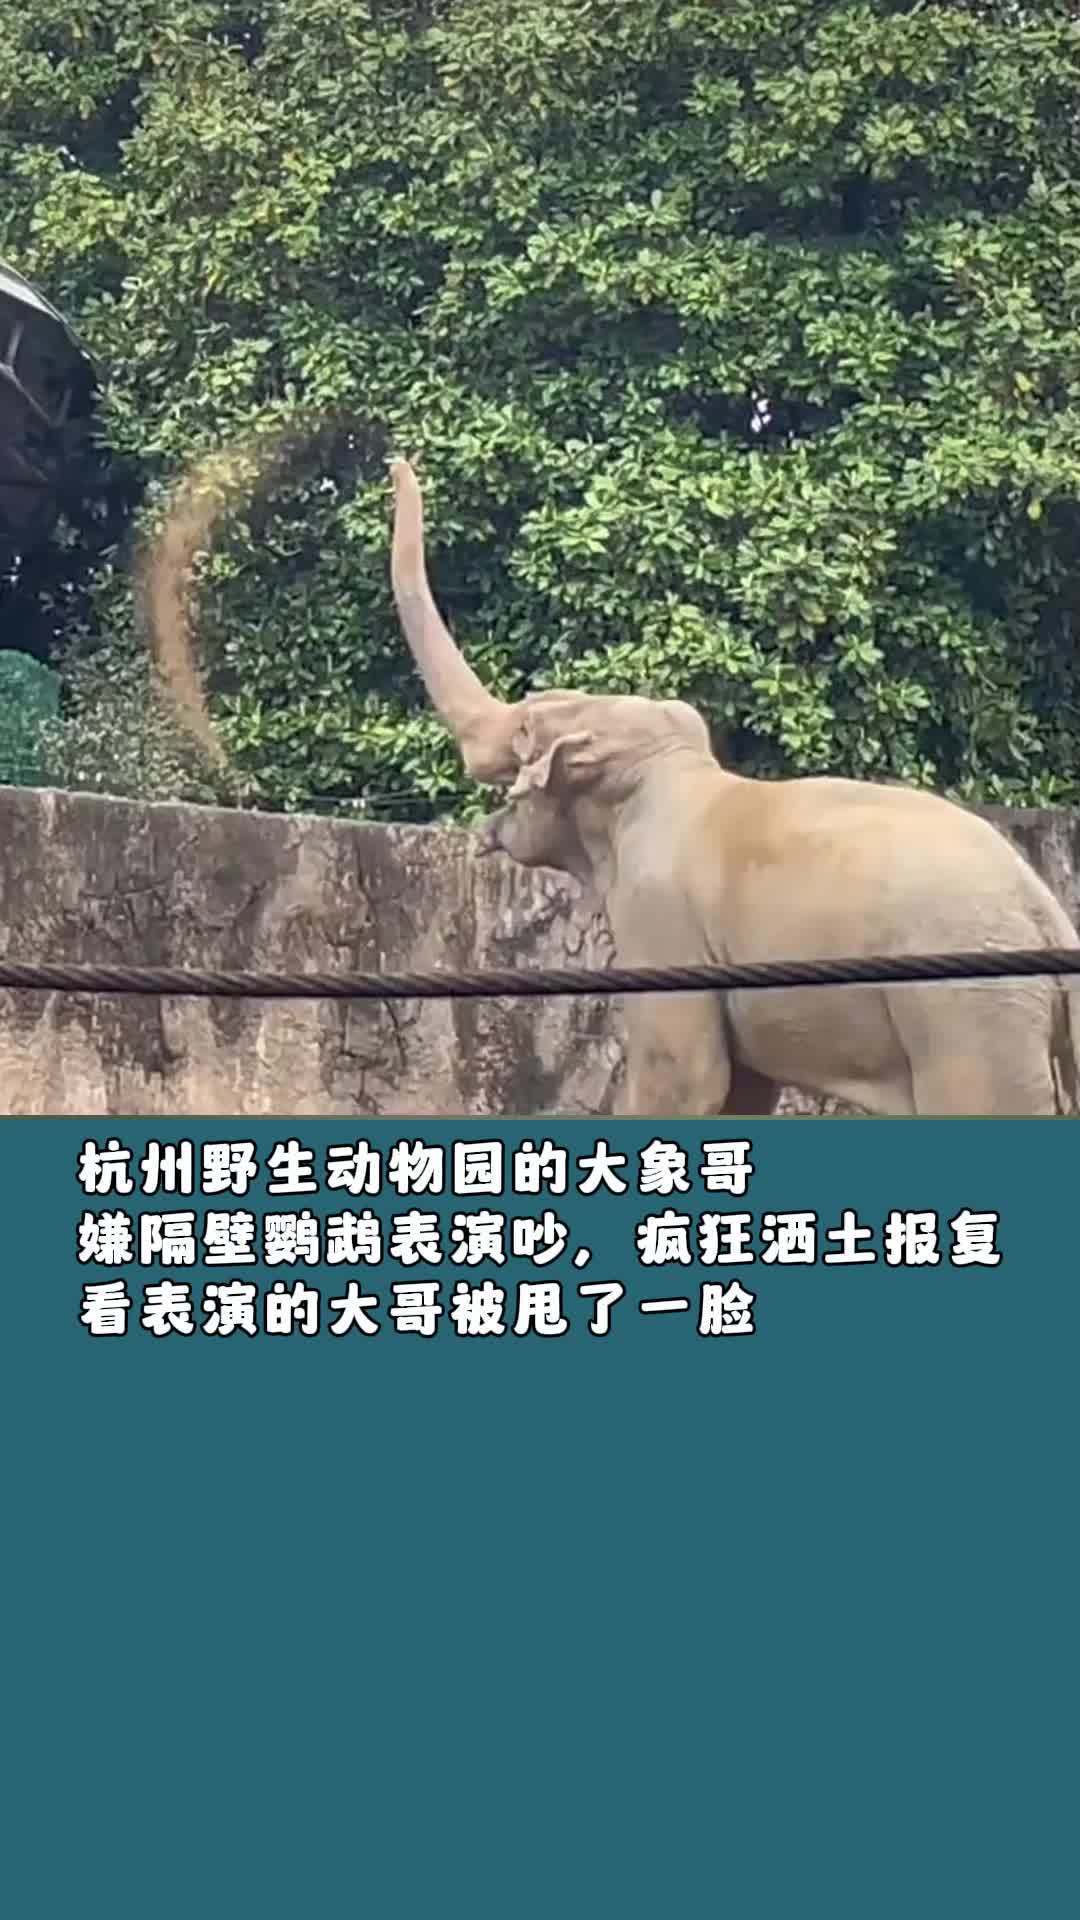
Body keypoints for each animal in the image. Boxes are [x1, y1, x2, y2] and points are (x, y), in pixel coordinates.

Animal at [388, 458, 1080, 1117]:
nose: (398, 457)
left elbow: (687, 1074)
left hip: (966, 1010)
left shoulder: (659, 913)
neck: (667, 768)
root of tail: (1045, 912)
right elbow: (743, 1089)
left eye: (526, 729)